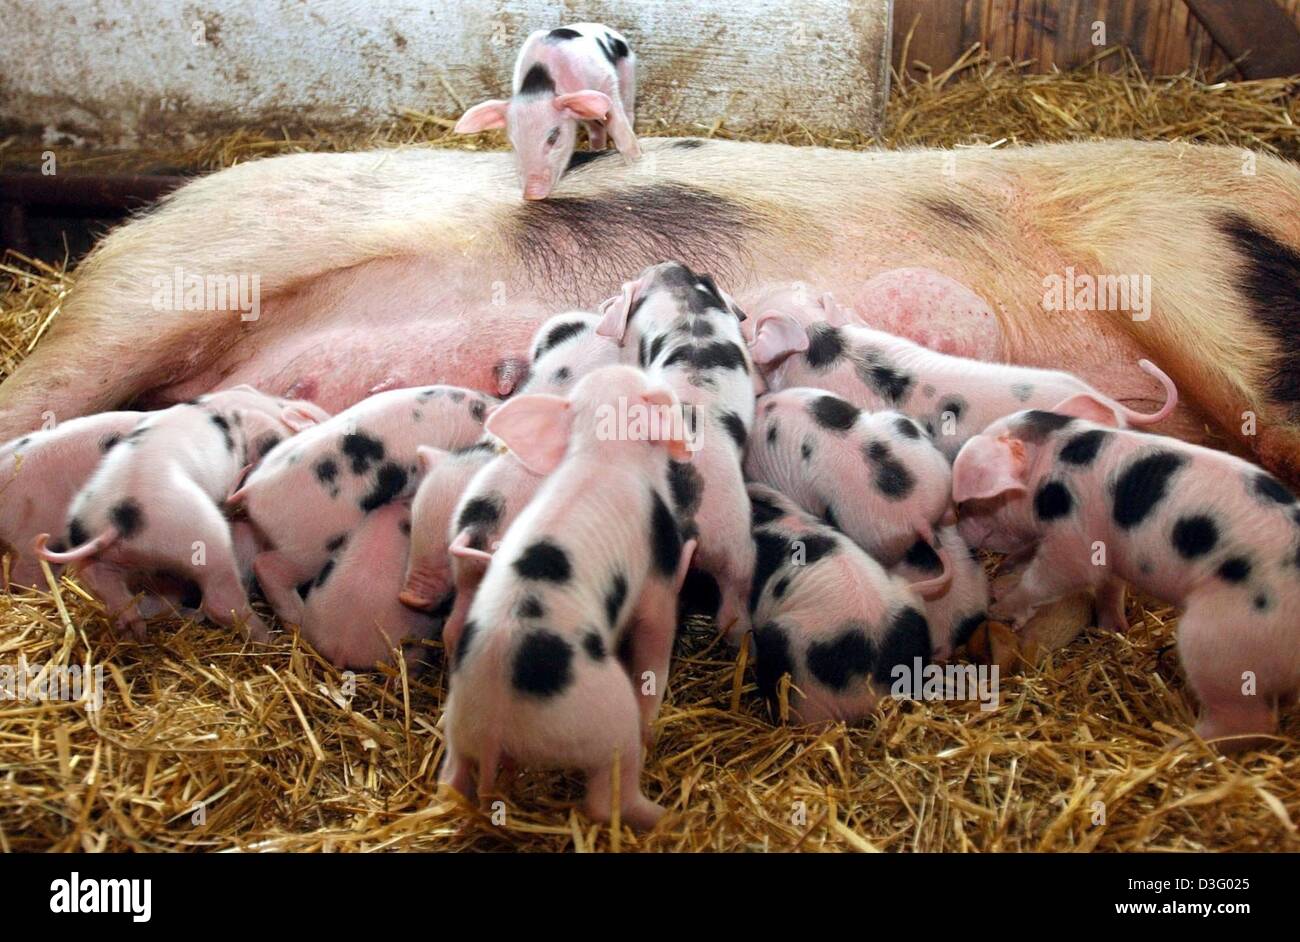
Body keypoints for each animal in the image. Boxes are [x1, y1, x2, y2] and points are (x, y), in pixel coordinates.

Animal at [33, 387, 328, 639]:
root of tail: (117, 518)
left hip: (92, 547)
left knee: (103, 581)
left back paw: (135, 631)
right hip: (201, 534)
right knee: (220, 599)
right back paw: (265, 637)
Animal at [439, 365, 695, 830]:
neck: (601, 455)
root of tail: (495, 726)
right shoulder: (657, 577)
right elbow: (655, 640)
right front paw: (653, 718)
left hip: (458, 726)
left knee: (450, 783)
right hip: (601, 718)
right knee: (605, 796)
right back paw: (669, 816)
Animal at [455, 22, 639, 199]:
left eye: (553, 137)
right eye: (513, 143)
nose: (531, 194)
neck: (539, 86)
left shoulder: (604, 80)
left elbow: (617, 121)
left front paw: (634, 160)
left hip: (628, 74)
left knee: (628, 111)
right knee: (595, 128)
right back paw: (596, 150)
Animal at [952, 398, 1300, 750]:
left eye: (971, 502)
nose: (961, 531)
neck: (1051, 457)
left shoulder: (1073, 535)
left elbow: (1051, 577)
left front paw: (1000, 607)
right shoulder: (1108, 550)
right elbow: (1110, 586)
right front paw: (1113, 629)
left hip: (1221, 639)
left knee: (1250, 720)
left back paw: (1176, 745)